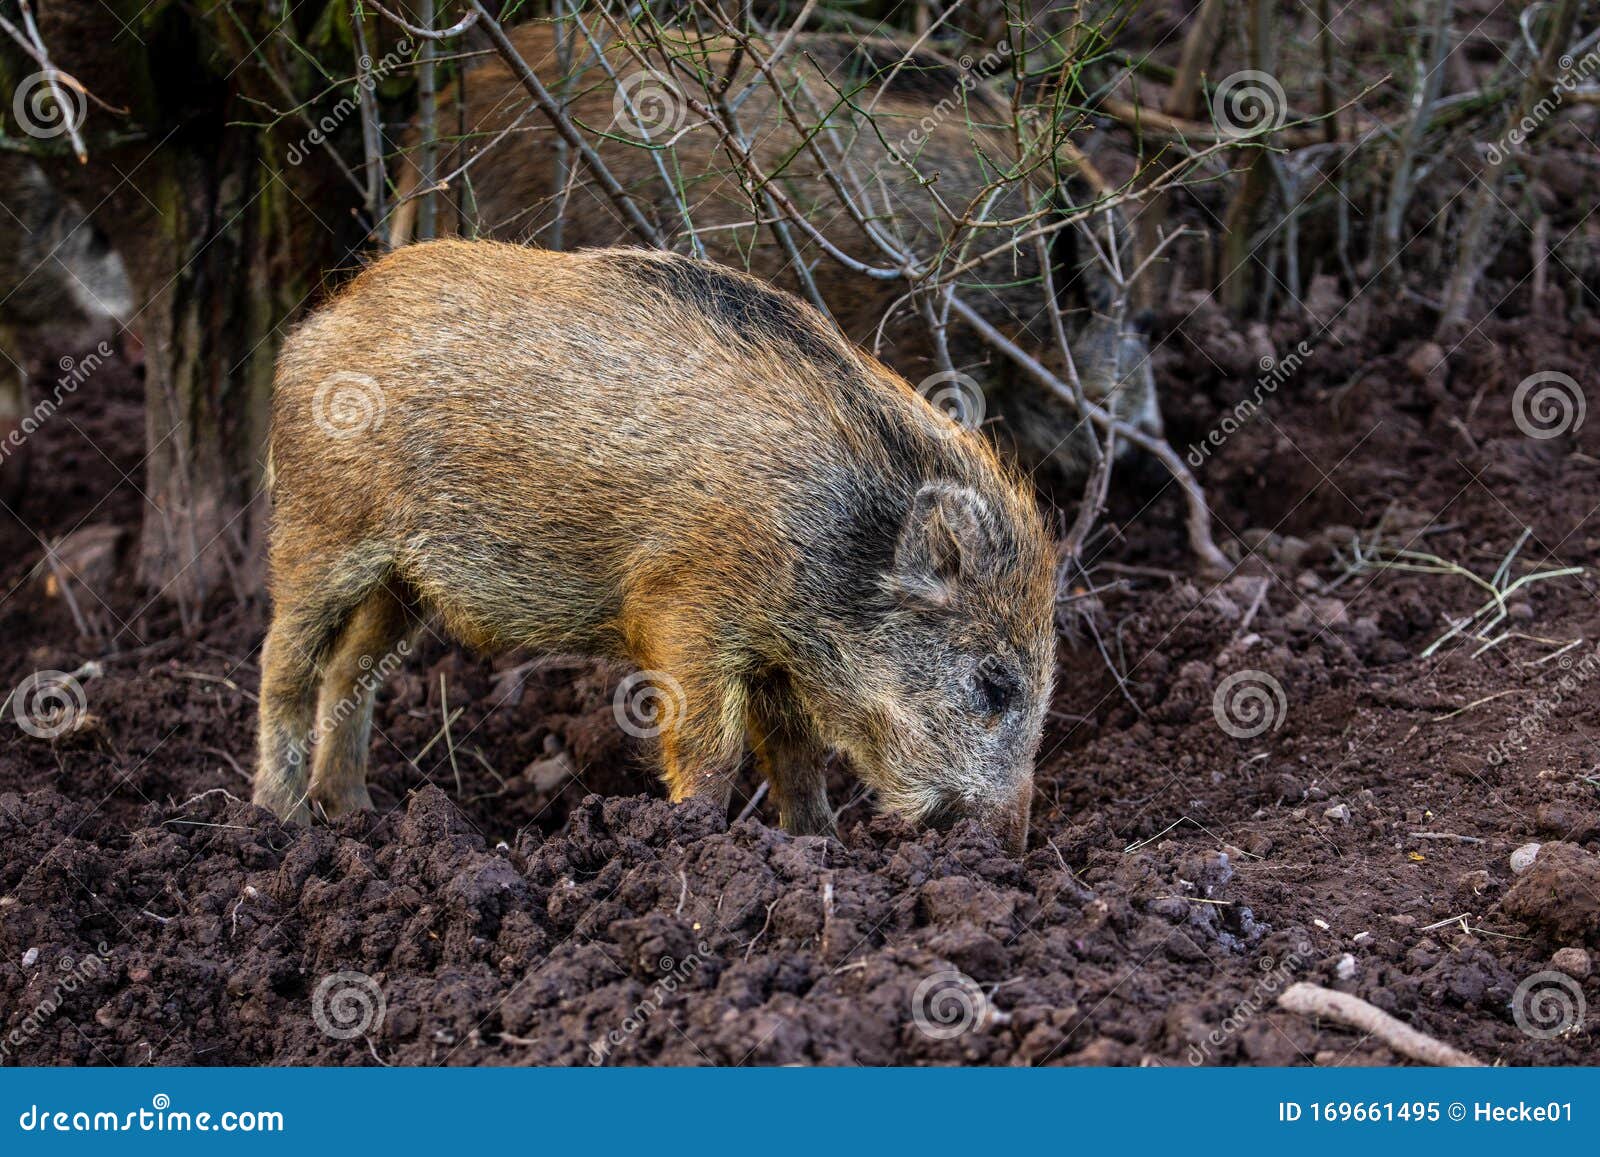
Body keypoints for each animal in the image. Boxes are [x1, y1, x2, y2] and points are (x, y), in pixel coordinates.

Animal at [253, 240, 1056, 851]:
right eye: (995, 683)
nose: (1012, 848)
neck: (836, 540)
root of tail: (318, 323)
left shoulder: (782, 658)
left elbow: (797, 758)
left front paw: (819, 846)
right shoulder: (686, 614)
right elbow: (714, 752)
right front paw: (692, 838)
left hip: (403, 580)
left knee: (352, 670)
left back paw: (356, 813)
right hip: (318, 531)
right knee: (284, 665)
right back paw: (282, 820)